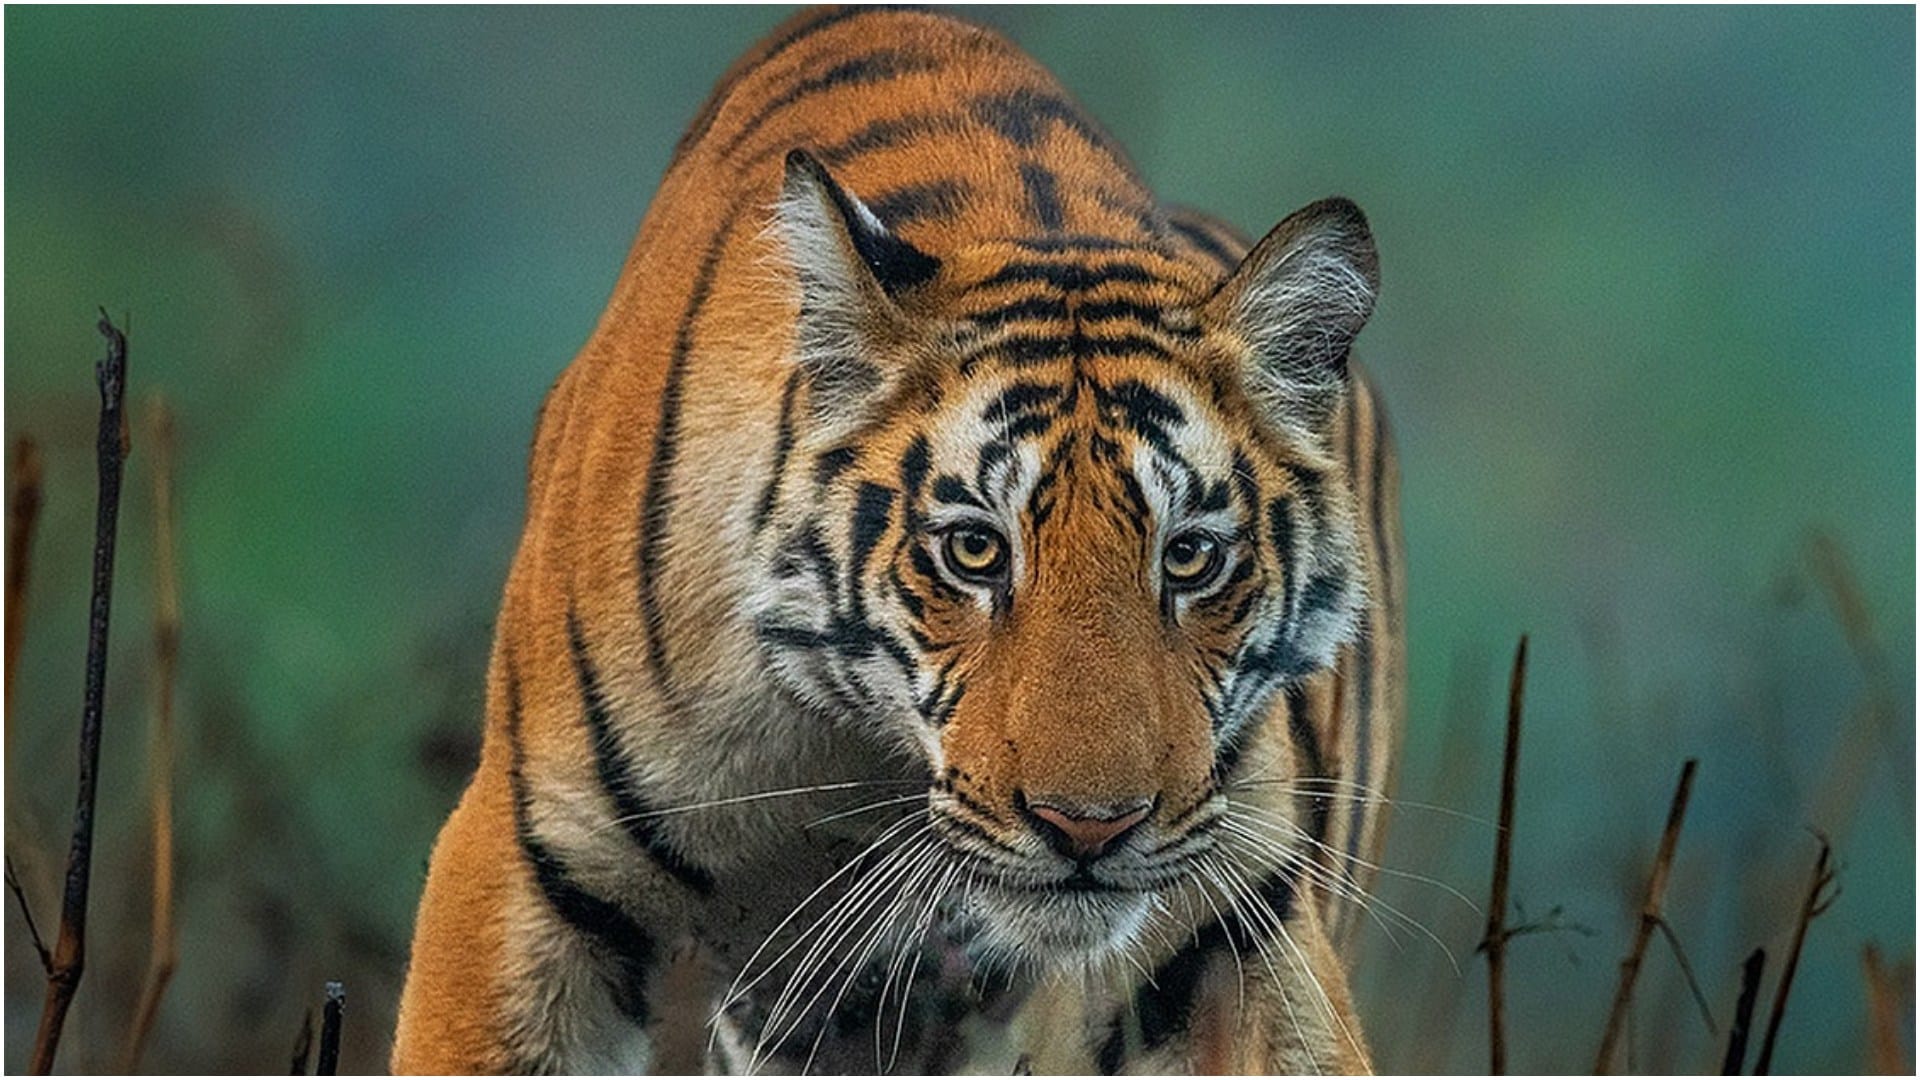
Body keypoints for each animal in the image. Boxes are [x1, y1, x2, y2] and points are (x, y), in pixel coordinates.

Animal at [392, 6, 1404, 1075]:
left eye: (1190, 556)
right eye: (974, 550)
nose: (1090, 831)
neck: (862, 754)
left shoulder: (1237, 909)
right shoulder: (529, 865)